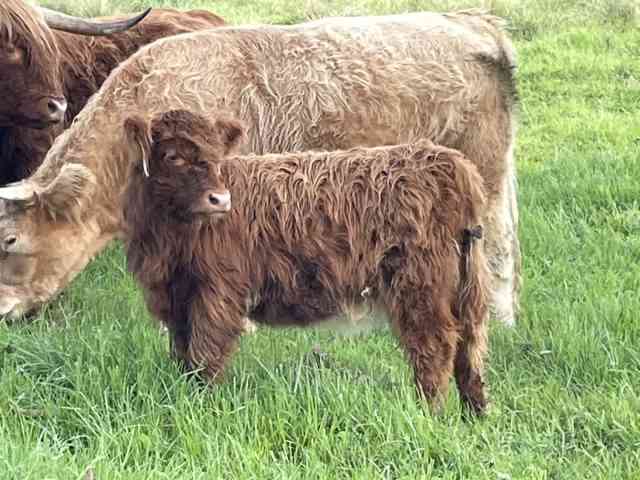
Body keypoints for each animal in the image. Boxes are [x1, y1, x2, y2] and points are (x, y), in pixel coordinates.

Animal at [121, 109, 490, 415]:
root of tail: (450, 162)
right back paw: (474, 416)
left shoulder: (217, 292)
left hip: (420, 286)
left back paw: (431, 415)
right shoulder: (175, 298)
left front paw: (201, 405)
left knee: (435, 346)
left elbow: (205, 353)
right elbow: (181, 352)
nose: (220, 199)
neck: (168, 238)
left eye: (216, 158)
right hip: (464, 285)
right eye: (173, 156)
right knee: (469, 348)